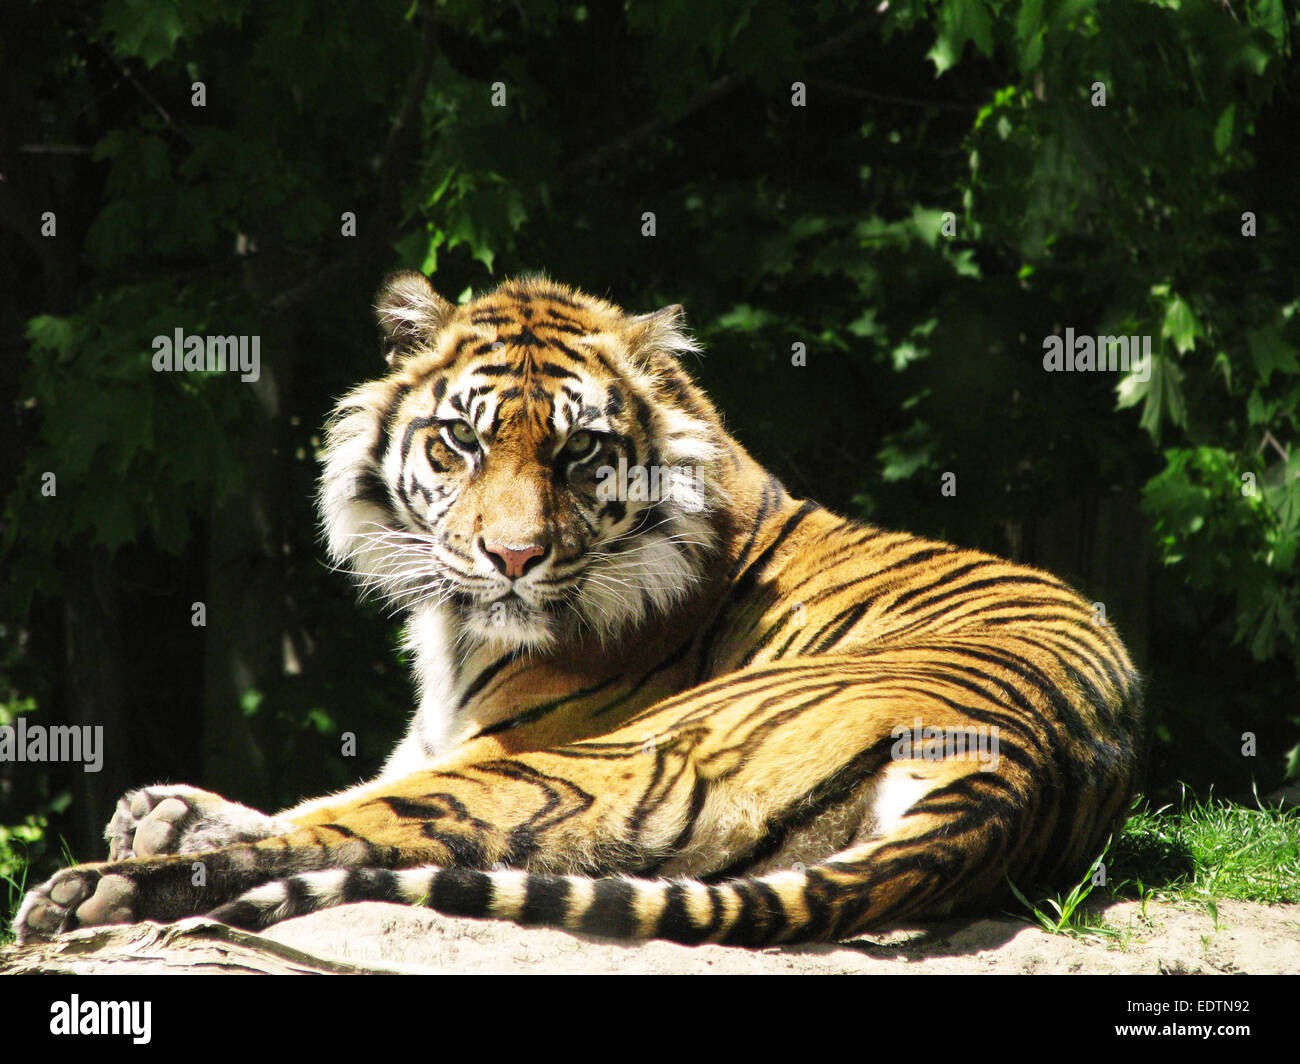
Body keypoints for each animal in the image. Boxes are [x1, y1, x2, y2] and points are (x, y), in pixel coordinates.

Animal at [13, 271, 1143, 948]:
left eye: (580, 451)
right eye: (461, 443)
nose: (513, 556)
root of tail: (1019, 766)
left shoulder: (498, 748)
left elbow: (334, 811)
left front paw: (157, 824)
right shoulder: (429, 738)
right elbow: (318, 795)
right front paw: (163, 808)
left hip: (594, 766)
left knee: (370, 840)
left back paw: (87, 895)